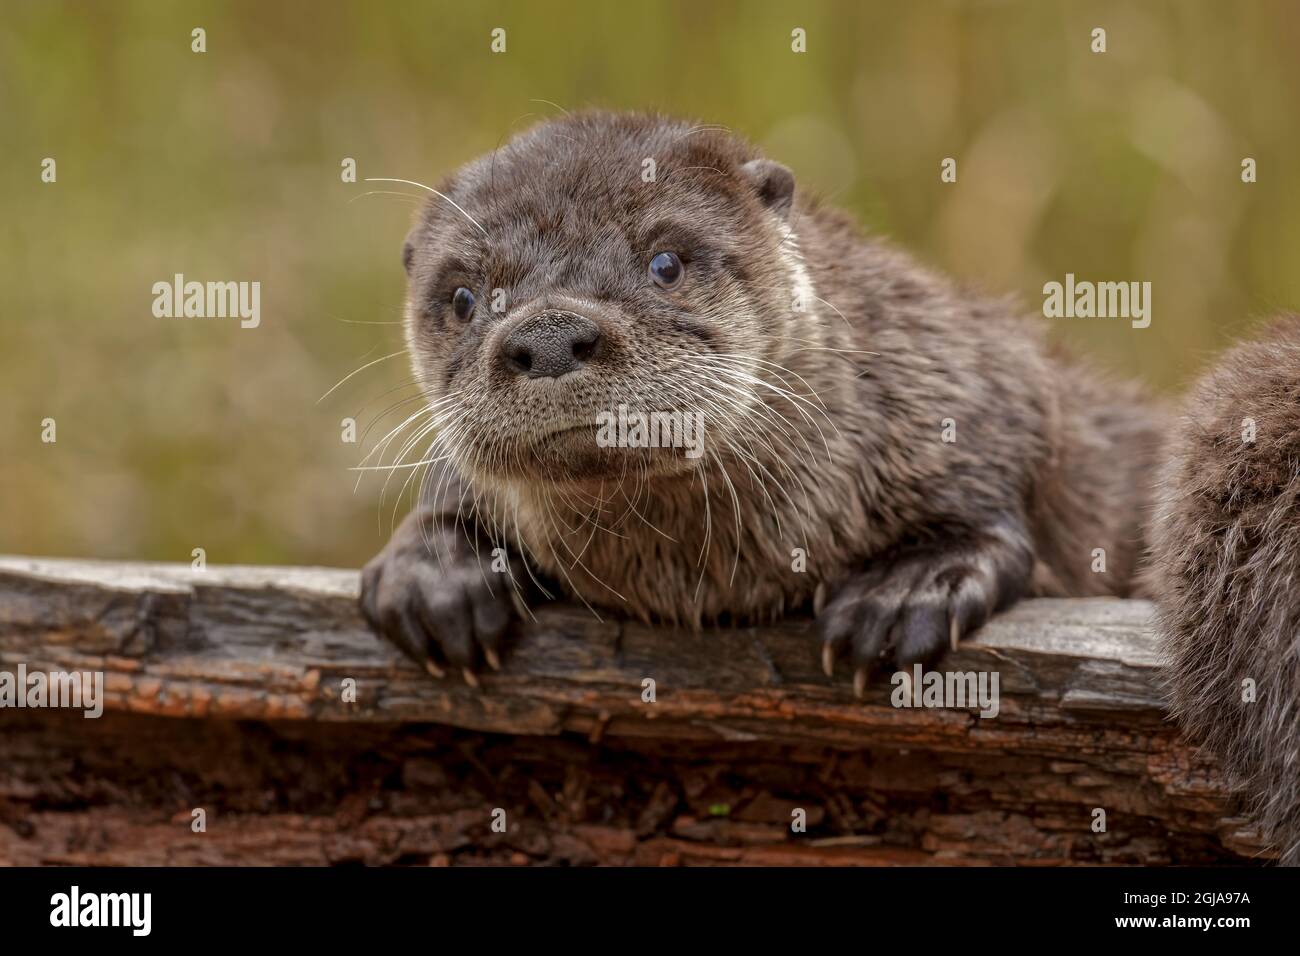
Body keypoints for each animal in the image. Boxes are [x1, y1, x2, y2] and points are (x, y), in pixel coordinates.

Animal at [358, 111, 1297, 861]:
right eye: (465, 296)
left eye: (665, 261)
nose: (551, 335)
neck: (700, 576)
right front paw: (433, 579)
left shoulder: (979, 375)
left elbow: (1016, 483)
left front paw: (909, 588)